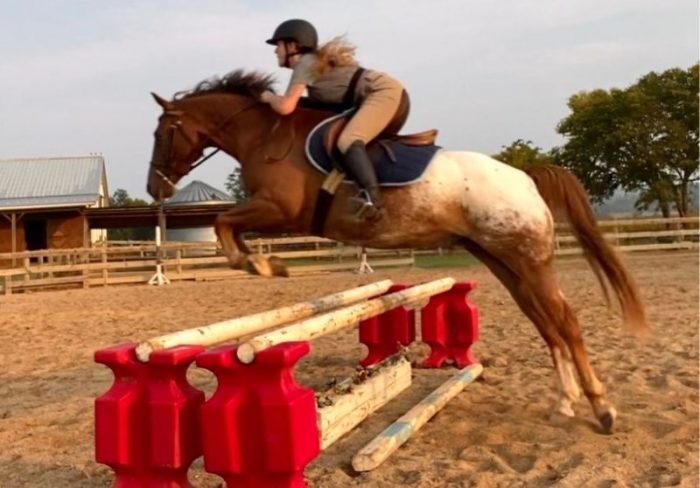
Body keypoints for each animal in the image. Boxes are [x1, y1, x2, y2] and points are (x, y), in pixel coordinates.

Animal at [146, 70, 647, 432]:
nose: (155, 187)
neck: (266, 136)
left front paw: (266, 265)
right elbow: (226, 225)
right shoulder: (272, 212)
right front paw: (263, 263)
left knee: (566, 323)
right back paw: (565, 404)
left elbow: (223, 223)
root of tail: (525, 177)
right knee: (547, 326)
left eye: (163, 132)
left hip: (527, 260)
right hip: (504, 262)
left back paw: (602, 410)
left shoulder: (280, 209)